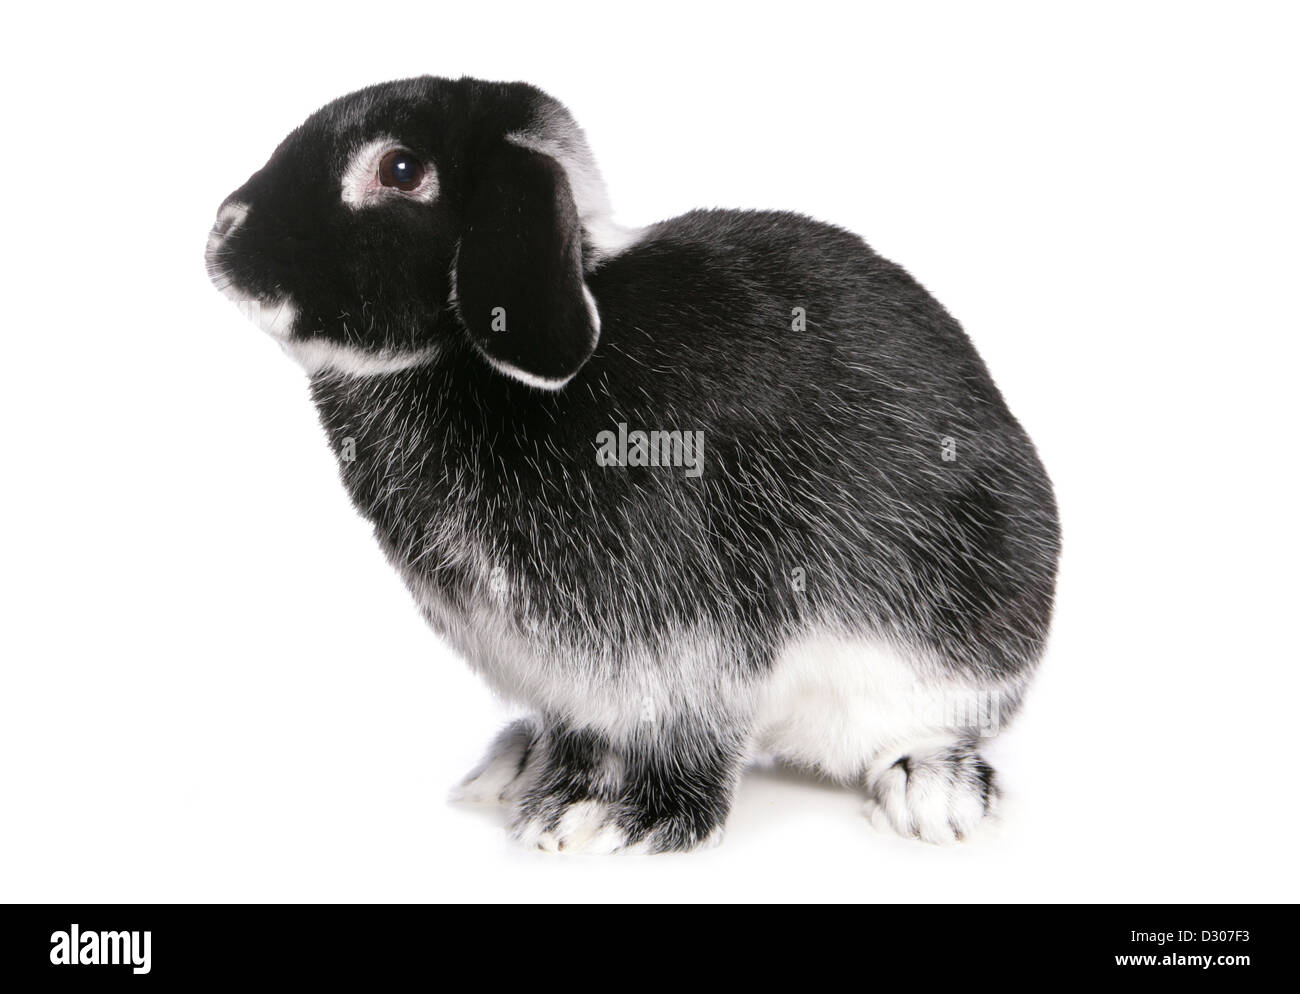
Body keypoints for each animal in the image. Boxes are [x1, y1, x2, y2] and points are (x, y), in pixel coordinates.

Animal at [205, 75, 1060, 853]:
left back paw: (931, 795)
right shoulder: (561, 668)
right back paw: (514, 764)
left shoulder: (692, 633)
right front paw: (558, 795)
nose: (221, 231)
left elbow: (691, 731)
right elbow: (580, 733)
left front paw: (628, 820)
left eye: (401, 169)